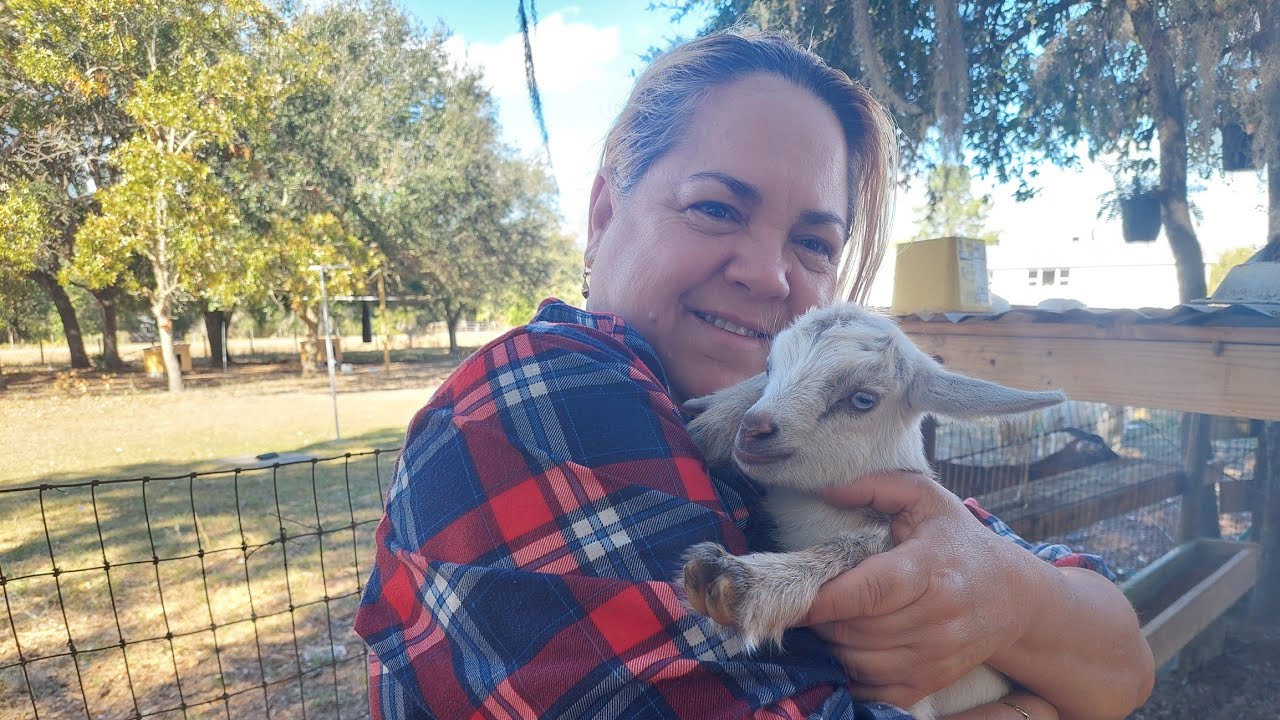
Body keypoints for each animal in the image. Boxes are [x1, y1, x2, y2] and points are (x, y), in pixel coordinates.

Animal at [680, 302, 1066, 720]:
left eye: (863, 399)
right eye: (768, 367)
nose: (752, 429)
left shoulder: (914, 699)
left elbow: (855, 546)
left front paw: (750, 582)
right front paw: (715, 420)